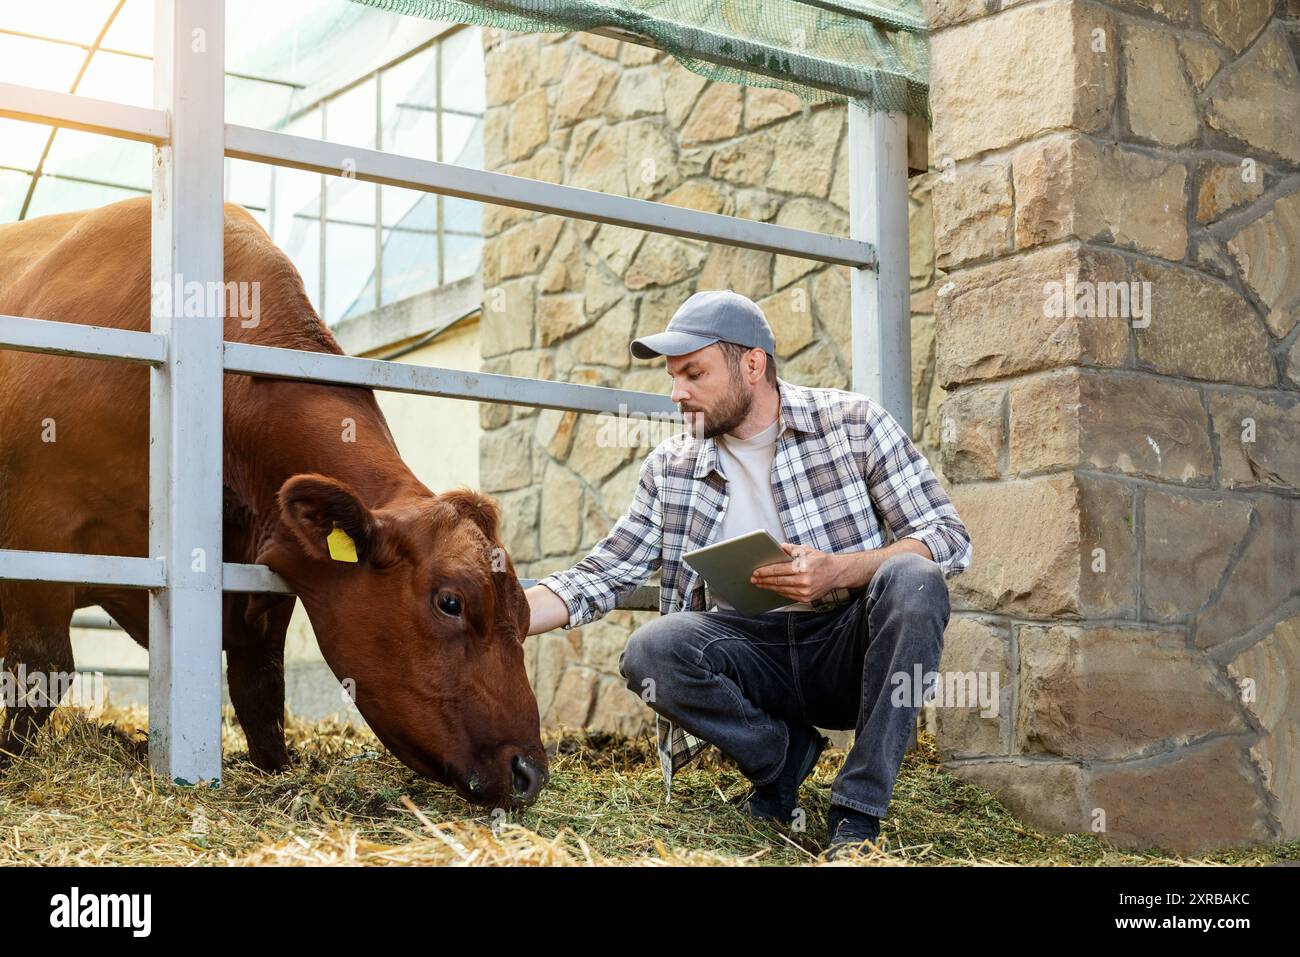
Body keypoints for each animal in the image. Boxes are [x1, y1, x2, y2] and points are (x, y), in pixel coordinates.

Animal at [0, 196, 547, 809]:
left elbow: (261, 690)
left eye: (525, 615)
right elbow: (41, 672)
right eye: (450, 602)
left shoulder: (270, 568)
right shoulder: (38, 539)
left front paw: (276, 770)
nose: (530, 770)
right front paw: (8, 763)